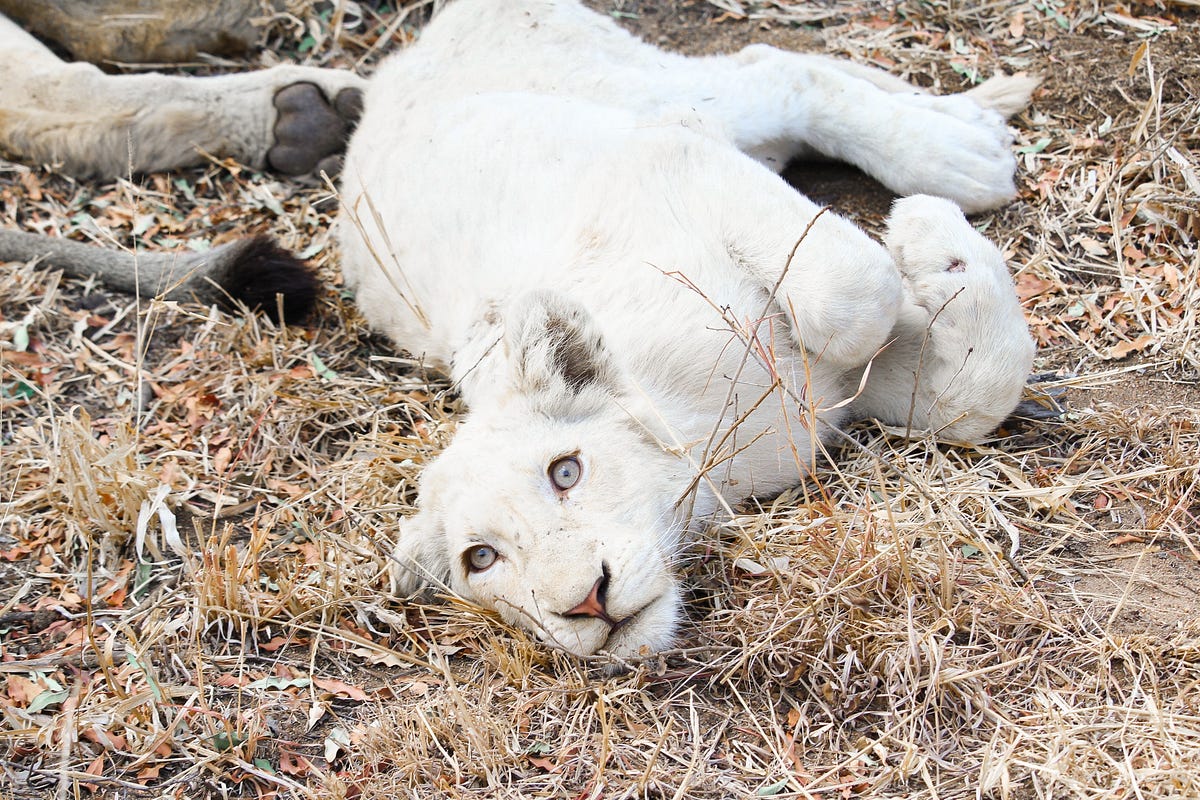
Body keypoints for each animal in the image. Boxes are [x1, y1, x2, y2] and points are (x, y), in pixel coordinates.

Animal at [0, 0, 1037, 659]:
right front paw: (943, 267)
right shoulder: (822, 399)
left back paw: (961, 151)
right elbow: (968, 392)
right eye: (481, 560)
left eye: (566, 472)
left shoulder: (668, 166)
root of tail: (413, 45)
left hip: (648, 98)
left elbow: (857, 294)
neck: (704, 451)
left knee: (774, 70)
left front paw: (924, 238)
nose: (586, 601)